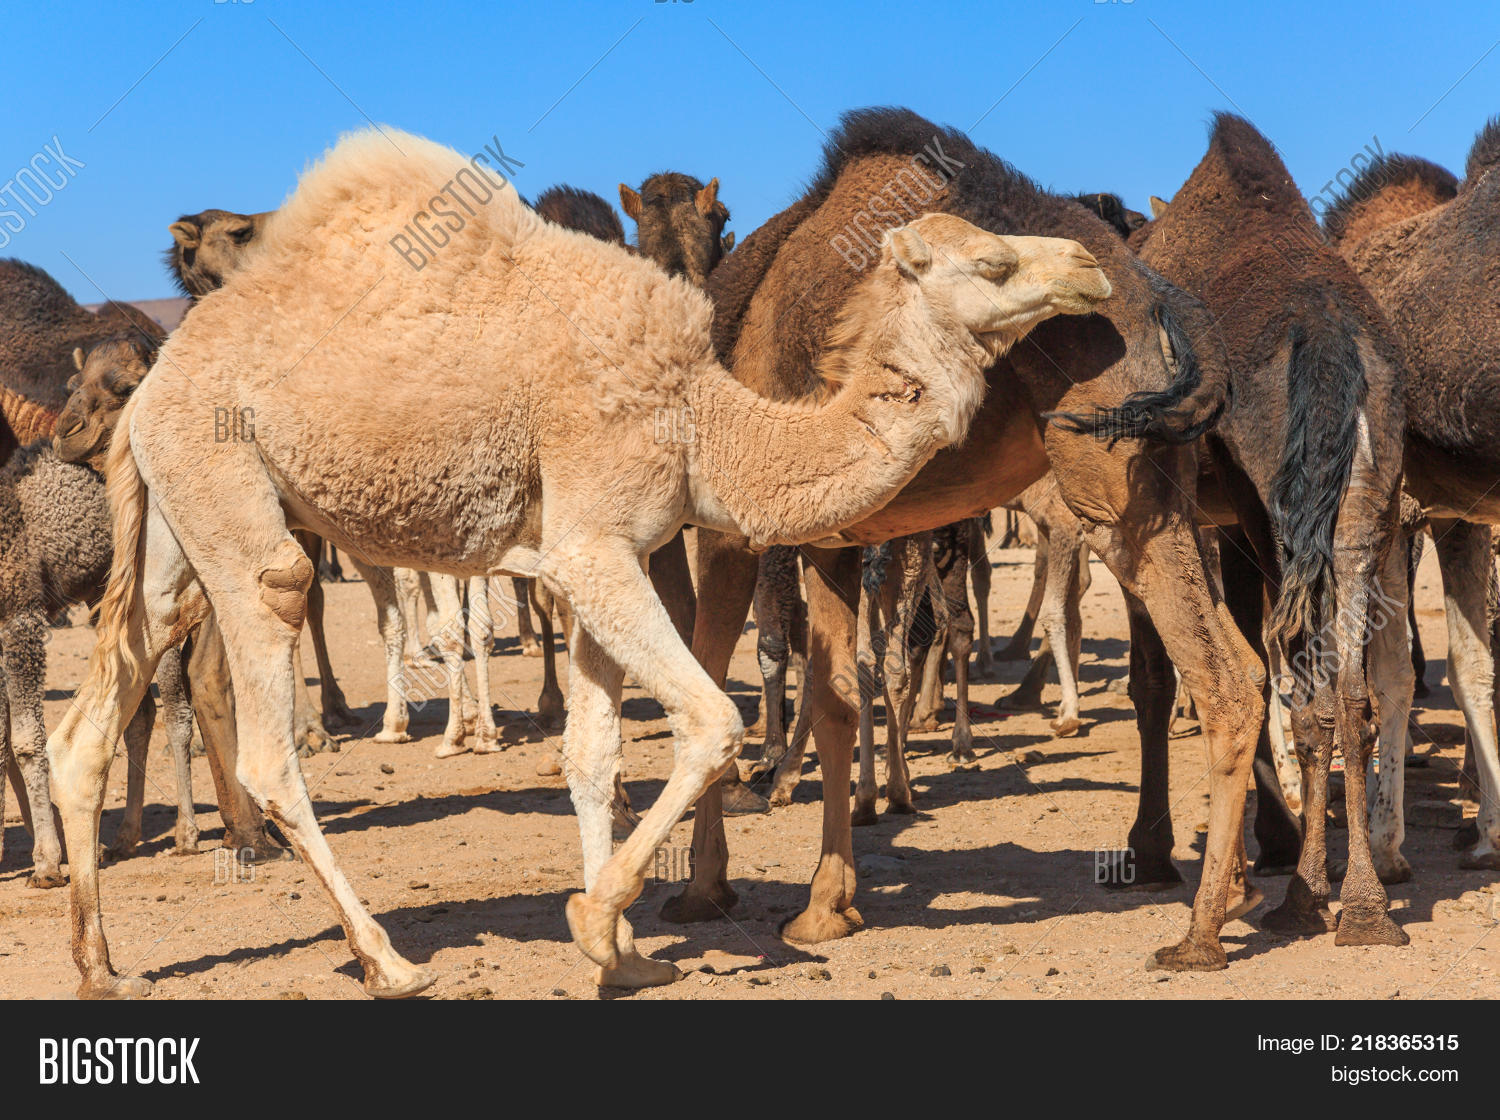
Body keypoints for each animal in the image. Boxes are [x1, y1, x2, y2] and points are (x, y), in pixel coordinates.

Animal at [45, 127, 1109, 998]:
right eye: (995, 260)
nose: (1093, 265)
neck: (704, 423)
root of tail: (153, 387)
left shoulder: (597, 557)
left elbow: (593, 756)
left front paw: (621, 953)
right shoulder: (596, 542)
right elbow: (711, 721)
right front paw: (598, 919)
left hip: (175, 521)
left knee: (93, 717)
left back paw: (102, 967)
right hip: (231, 494)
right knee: (272, 691)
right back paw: (385, 959)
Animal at [668, 107, 1264, 973]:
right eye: (992, 260)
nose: (1083, 266)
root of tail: (1158, 296)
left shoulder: (740, 527)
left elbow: (721, 681)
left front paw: (709, 888)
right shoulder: (831, 535)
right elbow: (838, 696)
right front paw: (829, 903)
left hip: (1111, 487)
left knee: (1223, 678)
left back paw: (1200, 933)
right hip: (1171, 488)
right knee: (1249, 661)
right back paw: (1242, 885)